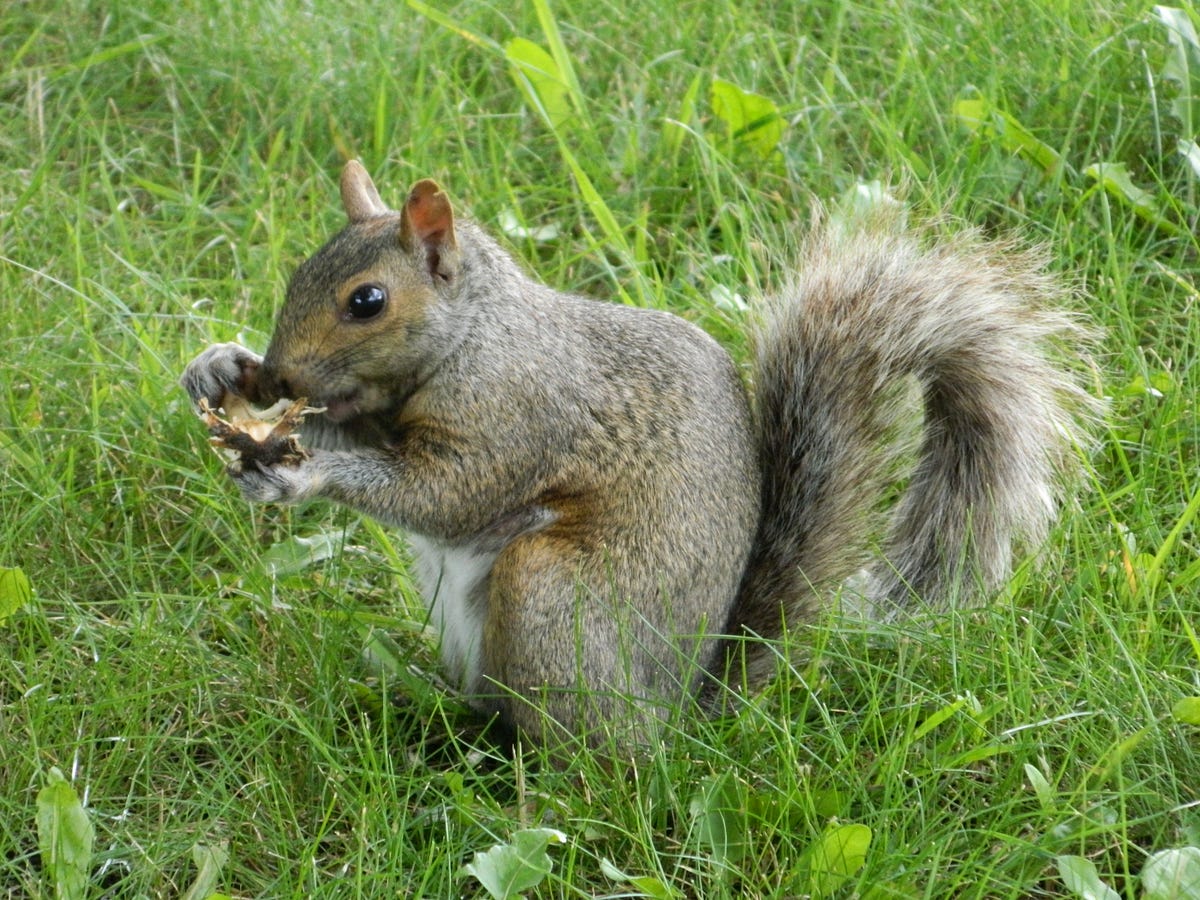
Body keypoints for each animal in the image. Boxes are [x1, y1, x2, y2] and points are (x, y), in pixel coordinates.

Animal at [181, 161, 1094, 748]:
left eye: (367, 302)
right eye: (298, 274)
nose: (282, 372)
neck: (476, 335)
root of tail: (679, 712)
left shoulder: (515, 413)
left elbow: (447, 494)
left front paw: (305, 471)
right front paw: (222, 369)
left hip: (550, 598)